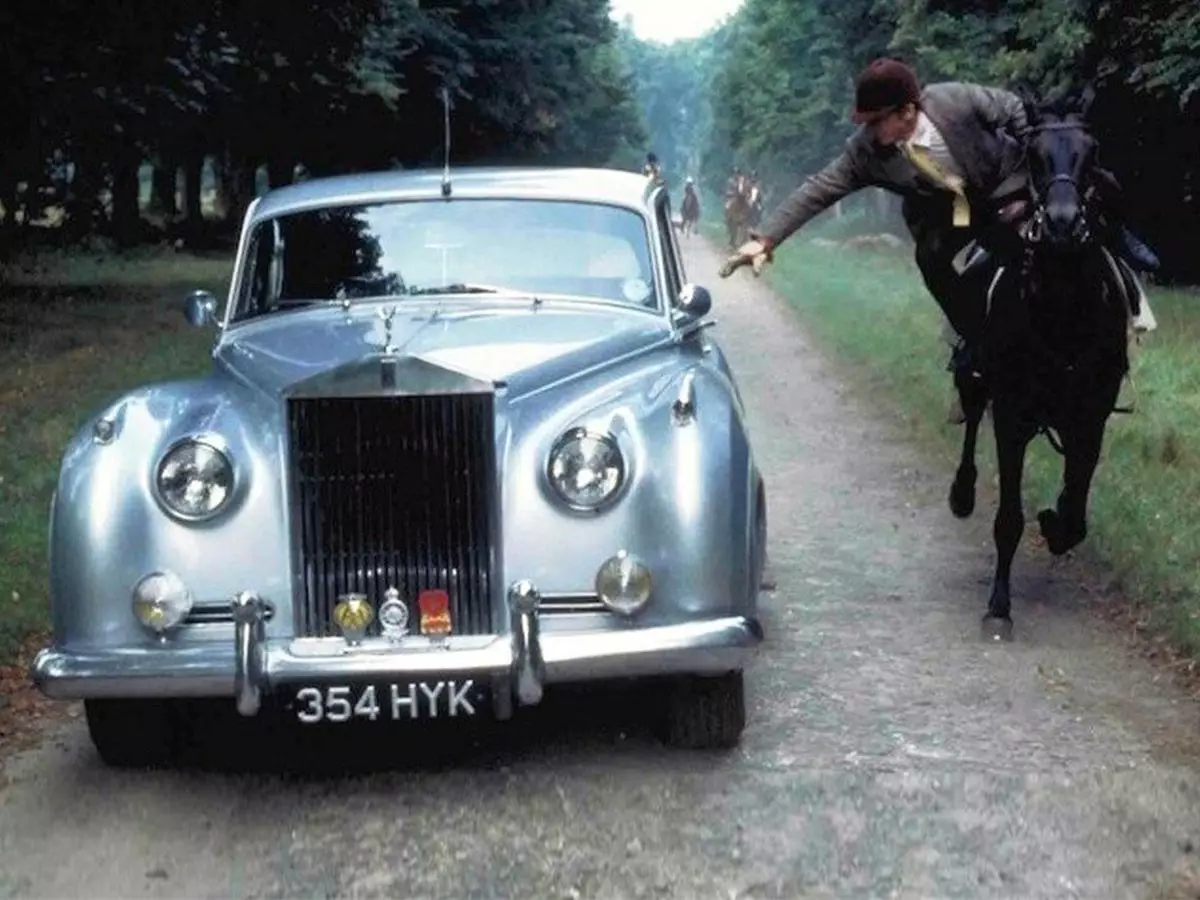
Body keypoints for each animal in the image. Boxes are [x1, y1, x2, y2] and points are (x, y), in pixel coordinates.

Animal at [945, 90, 1132, 643]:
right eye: (1035, 156)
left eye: (1092, 151)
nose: (1064, 223)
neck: (1063, 307)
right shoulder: (1012, 415)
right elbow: (1008, 517)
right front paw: (999, 607)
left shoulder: (1090, 418)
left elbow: (1076, 509)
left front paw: (1056, 524)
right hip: (975, 376)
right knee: (970, 415)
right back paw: (962, 493)